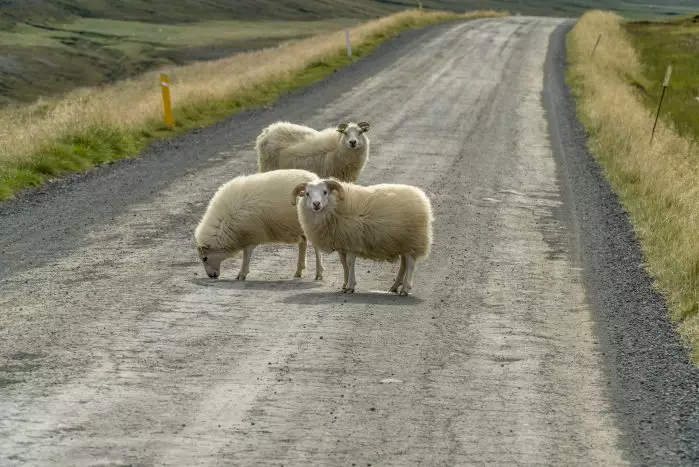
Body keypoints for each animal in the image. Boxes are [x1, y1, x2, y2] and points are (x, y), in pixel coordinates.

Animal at [194, 169, 324, 281]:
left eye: (204, 258)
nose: (211, 276)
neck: (224, 222)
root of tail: (314, 178)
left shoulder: (251, 233)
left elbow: (246, 255)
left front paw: (242, 274)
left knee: (315, 247)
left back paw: (319, 273)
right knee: (303, 243)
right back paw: (298, 271)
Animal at [291, 178, 433, 296]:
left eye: (325, 192)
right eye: (307, 193)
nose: (316, 204)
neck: (335, 207)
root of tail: (421, 197)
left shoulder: (352, 242)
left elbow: (349, 263)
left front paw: (350, 286)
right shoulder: (342, 244)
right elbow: (344, 264)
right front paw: (344, 284)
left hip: (414, 239)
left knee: (410, 264)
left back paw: (405, 289)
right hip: (402, 241)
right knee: (404, 263)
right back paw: (395, 286)